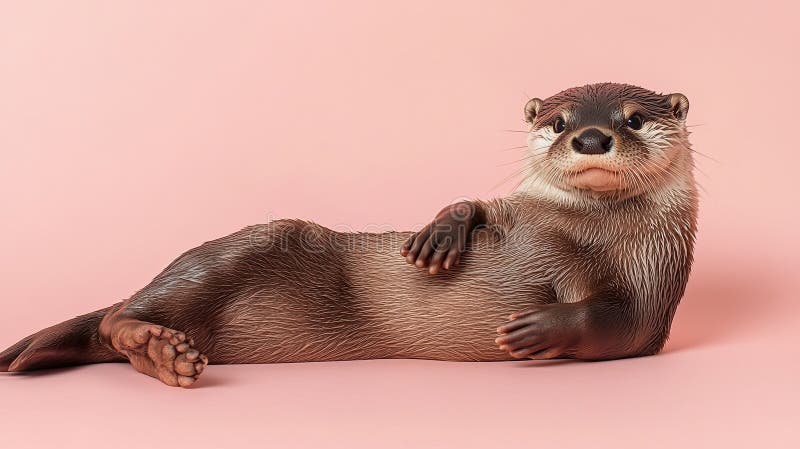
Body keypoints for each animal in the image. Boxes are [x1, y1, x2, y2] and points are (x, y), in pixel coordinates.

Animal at [0, 83, 697, 387]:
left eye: (632, 118)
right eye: (559, 121)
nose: (591, 136)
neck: (582, 229)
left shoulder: (655, 280)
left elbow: (619, 323)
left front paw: (537, 328)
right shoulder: (514, 208)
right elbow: (476, 203)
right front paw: (441, 230)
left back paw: (160, 355)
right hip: (246, 245)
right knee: (116, 314)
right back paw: (157, 346)